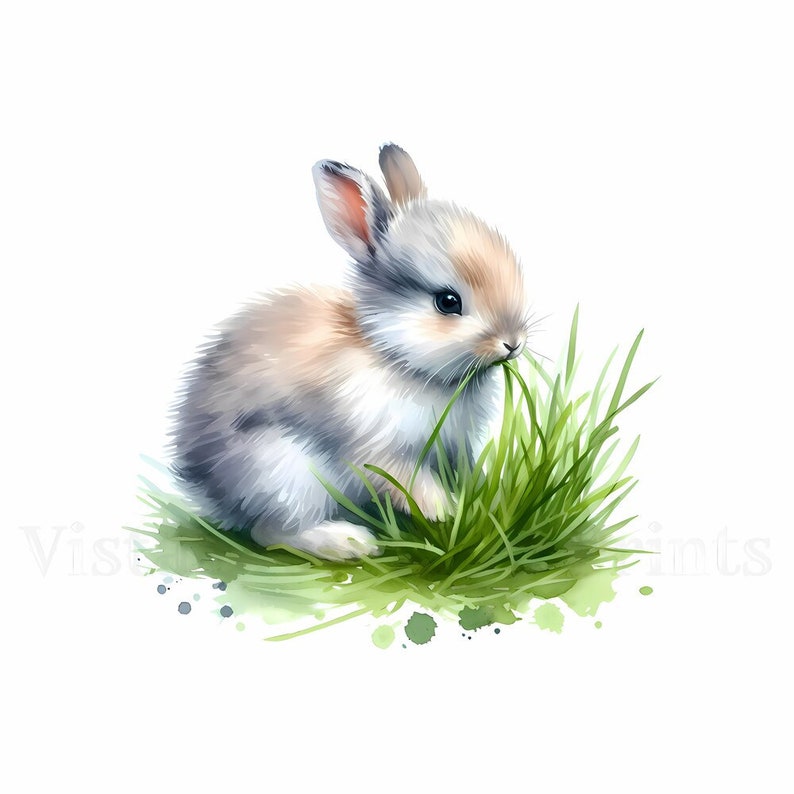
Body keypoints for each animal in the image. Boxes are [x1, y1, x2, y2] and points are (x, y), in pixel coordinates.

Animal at [170, 143, 532, 561]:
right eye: (448, 302)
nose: (513, 341)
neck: (395, 356)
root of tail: (203, 485)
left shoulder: (456, 448)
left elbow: (466, 471)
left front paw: (478, 499)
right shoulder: (376, 448)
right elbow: (409, 482)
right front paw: (447, 513)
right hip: (284, 474)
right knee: (270, 533)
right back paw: (349, 542)